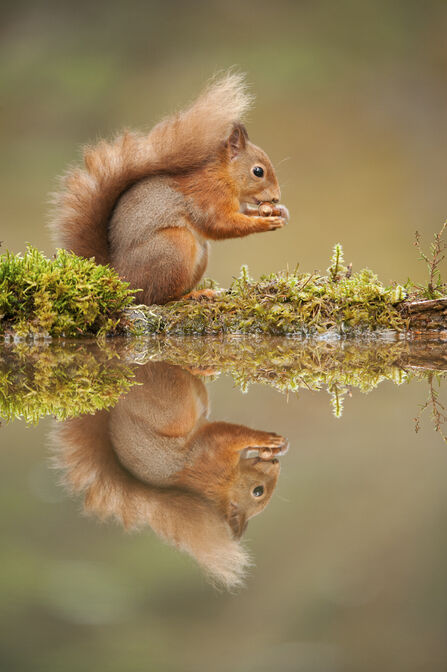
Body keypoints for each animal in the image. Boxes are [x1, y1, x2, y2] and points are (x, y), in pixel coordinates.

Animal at [51, 72, 289, 304]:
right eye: (258, 171)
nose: (276, 198)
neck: (225, 178)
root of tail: (121, 278)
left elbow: (243, 214)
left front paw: (279, 212)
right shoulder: (208, 198)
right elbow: (220, 224)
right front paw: (265, 223)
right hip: (174, 247)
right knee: (158, 298)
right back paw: (192, 295)